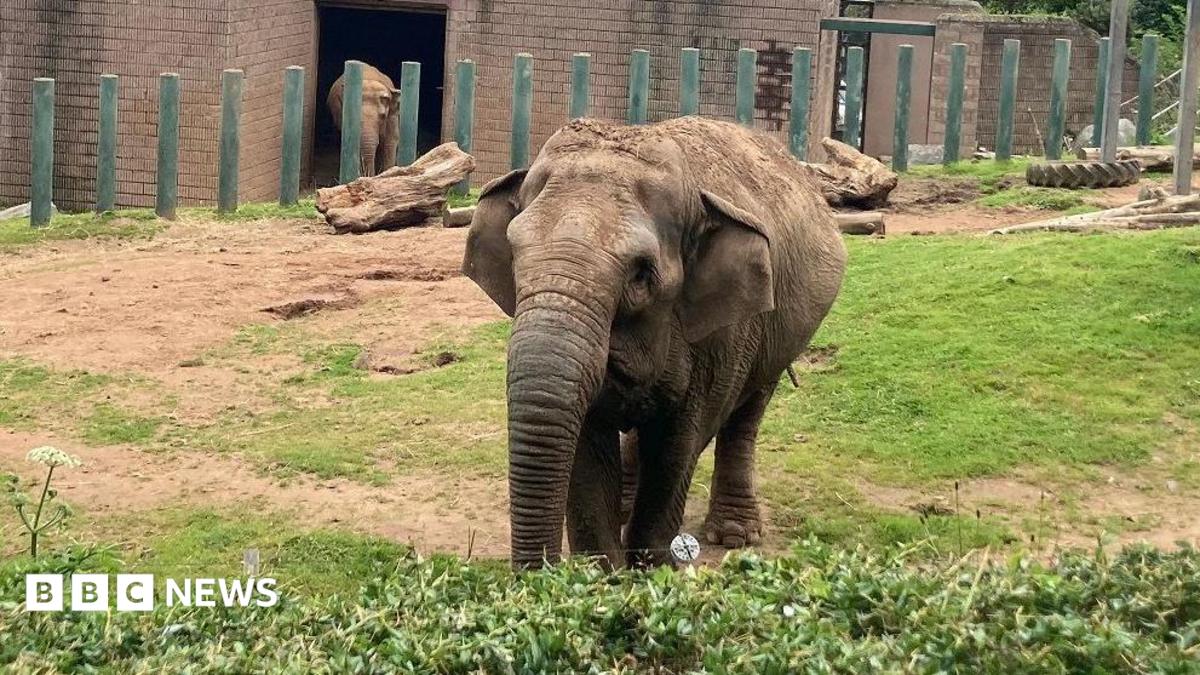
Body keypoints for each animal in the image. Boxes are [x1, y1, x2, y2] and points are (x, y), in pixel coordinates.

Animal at [463, 116, 847, 569]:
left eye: (642, 273)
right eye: (514, 254)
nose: (539, 573)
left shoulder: (724, 334)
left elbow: (677, 443)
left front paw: (651, 570)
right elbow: (587, 440)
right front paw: (602, 573)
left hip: (777, 332)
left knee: (747, 412)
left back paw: (734, 534)